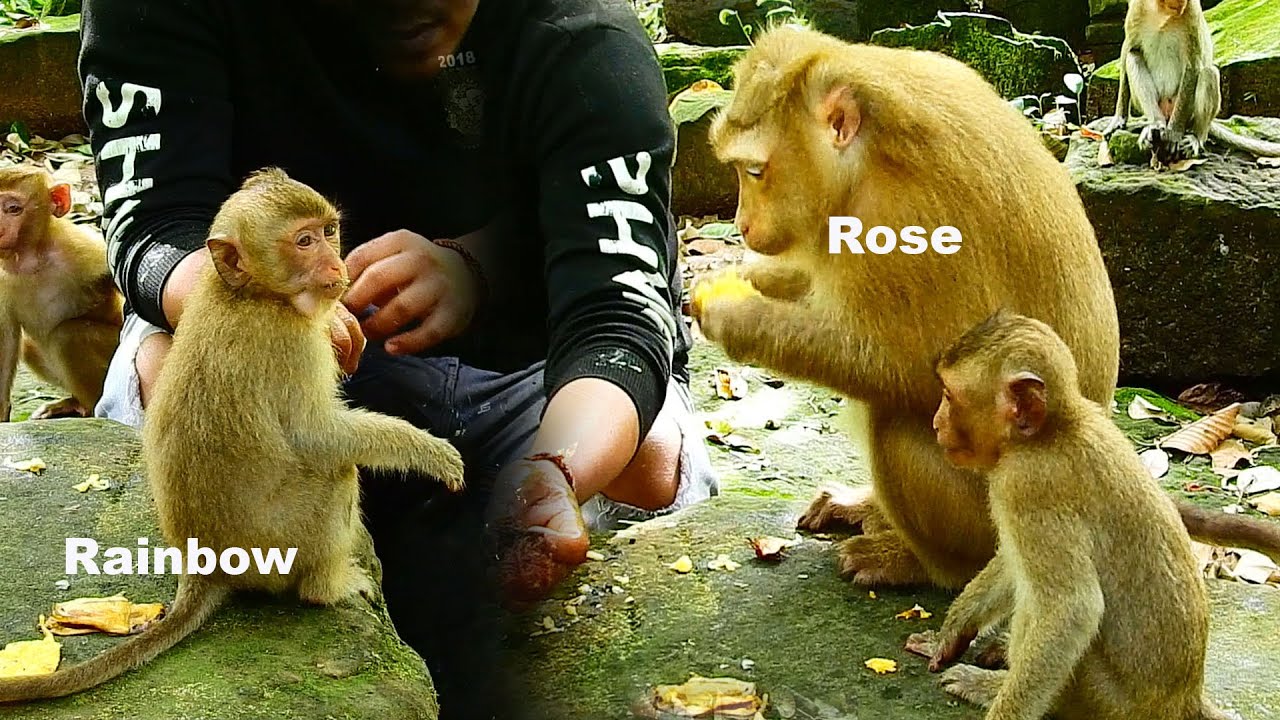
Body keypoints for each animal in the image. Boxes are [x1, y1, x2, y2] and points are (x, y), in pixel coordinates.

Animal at [692, 26, 1280, 592]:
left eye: (755, 172)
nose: (742, 224)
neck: (865, 157)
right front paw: (739, 277)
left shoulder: (902, 217)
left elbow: (897, 366)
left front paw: (733, 318)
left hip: (996, 517)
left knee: (892, 420)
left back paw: (921, 566)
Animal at [903, 310, 1230, 720]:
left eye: (948, 396)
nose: (936, 422)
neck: (1052, 430)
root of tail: (1182, 700)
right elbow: (1012, 562)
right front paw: (954, 630)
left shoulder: (1025, 486)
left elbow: (1071, 609)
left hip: (1101, 699)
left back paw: (991, 685)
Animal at [1106, 0, 1280, 163]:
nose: (1180, 5)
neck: (1162, 14)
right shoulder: (1136, 11)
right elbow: (1128, 49)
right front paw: (1119, 119)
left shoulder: (1192, 14)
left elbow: (1193, 65)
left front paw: (1174, 133)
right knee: (1133, 57)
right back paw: (1156, 125)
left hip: (1190, 114)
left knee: (1208, 73)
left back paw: (1196, 136)